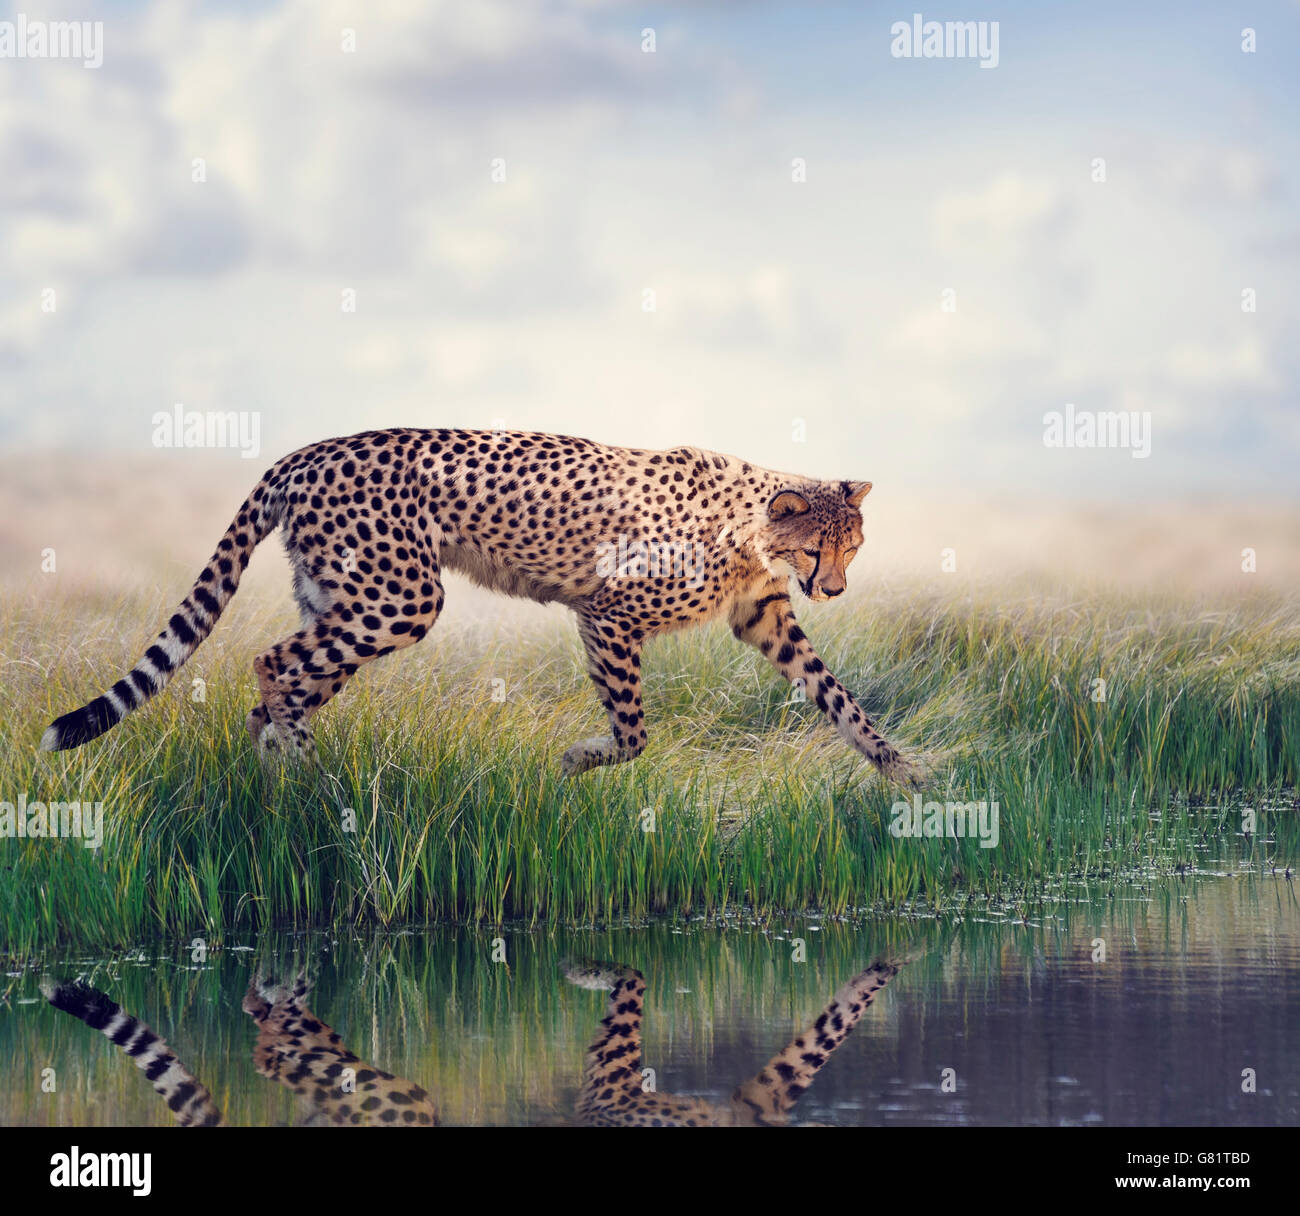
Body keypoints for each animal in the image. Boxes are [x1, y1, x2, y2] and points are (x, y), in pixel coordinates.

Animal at [40, 426, 917, 784]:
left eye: (852, 548)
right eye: (816, 550)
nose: (834, 588)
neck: (747, 529)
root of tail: (305, 452)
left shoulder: (765, 618)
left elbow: (839, 697)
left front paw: (904, 773)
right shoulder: (609, 613)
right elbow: (634, 728)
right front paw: (582, 760)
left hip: (345, 599)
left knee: (284, 681)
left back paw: (280, 785)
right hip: (400, 597)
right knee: (271, 662)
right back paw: (304, 776)